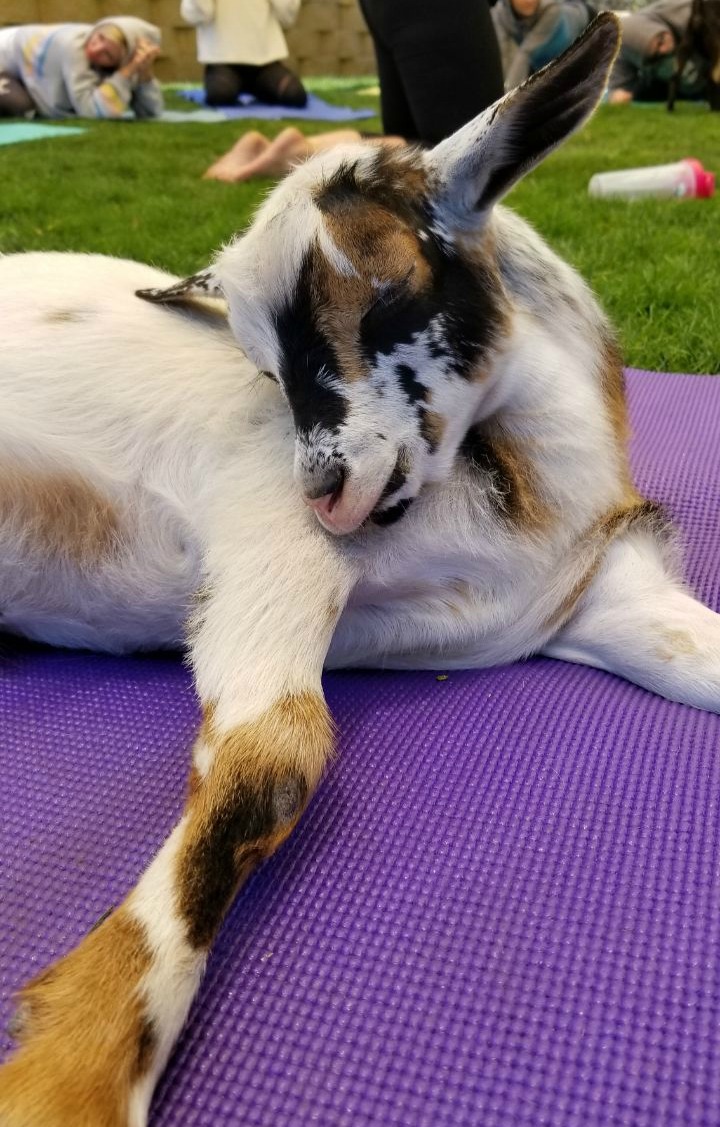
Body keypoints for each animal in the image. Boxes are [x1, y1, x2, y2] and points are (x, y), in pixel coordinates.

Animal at [1, 15, 719, 1126]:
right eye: (261, 366)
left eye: (385, 290)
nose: (327, 491)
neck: (522, 499)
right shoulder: (276, 551)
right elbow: (272, 764)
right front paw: (71, 1079)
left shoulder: (594, 597)